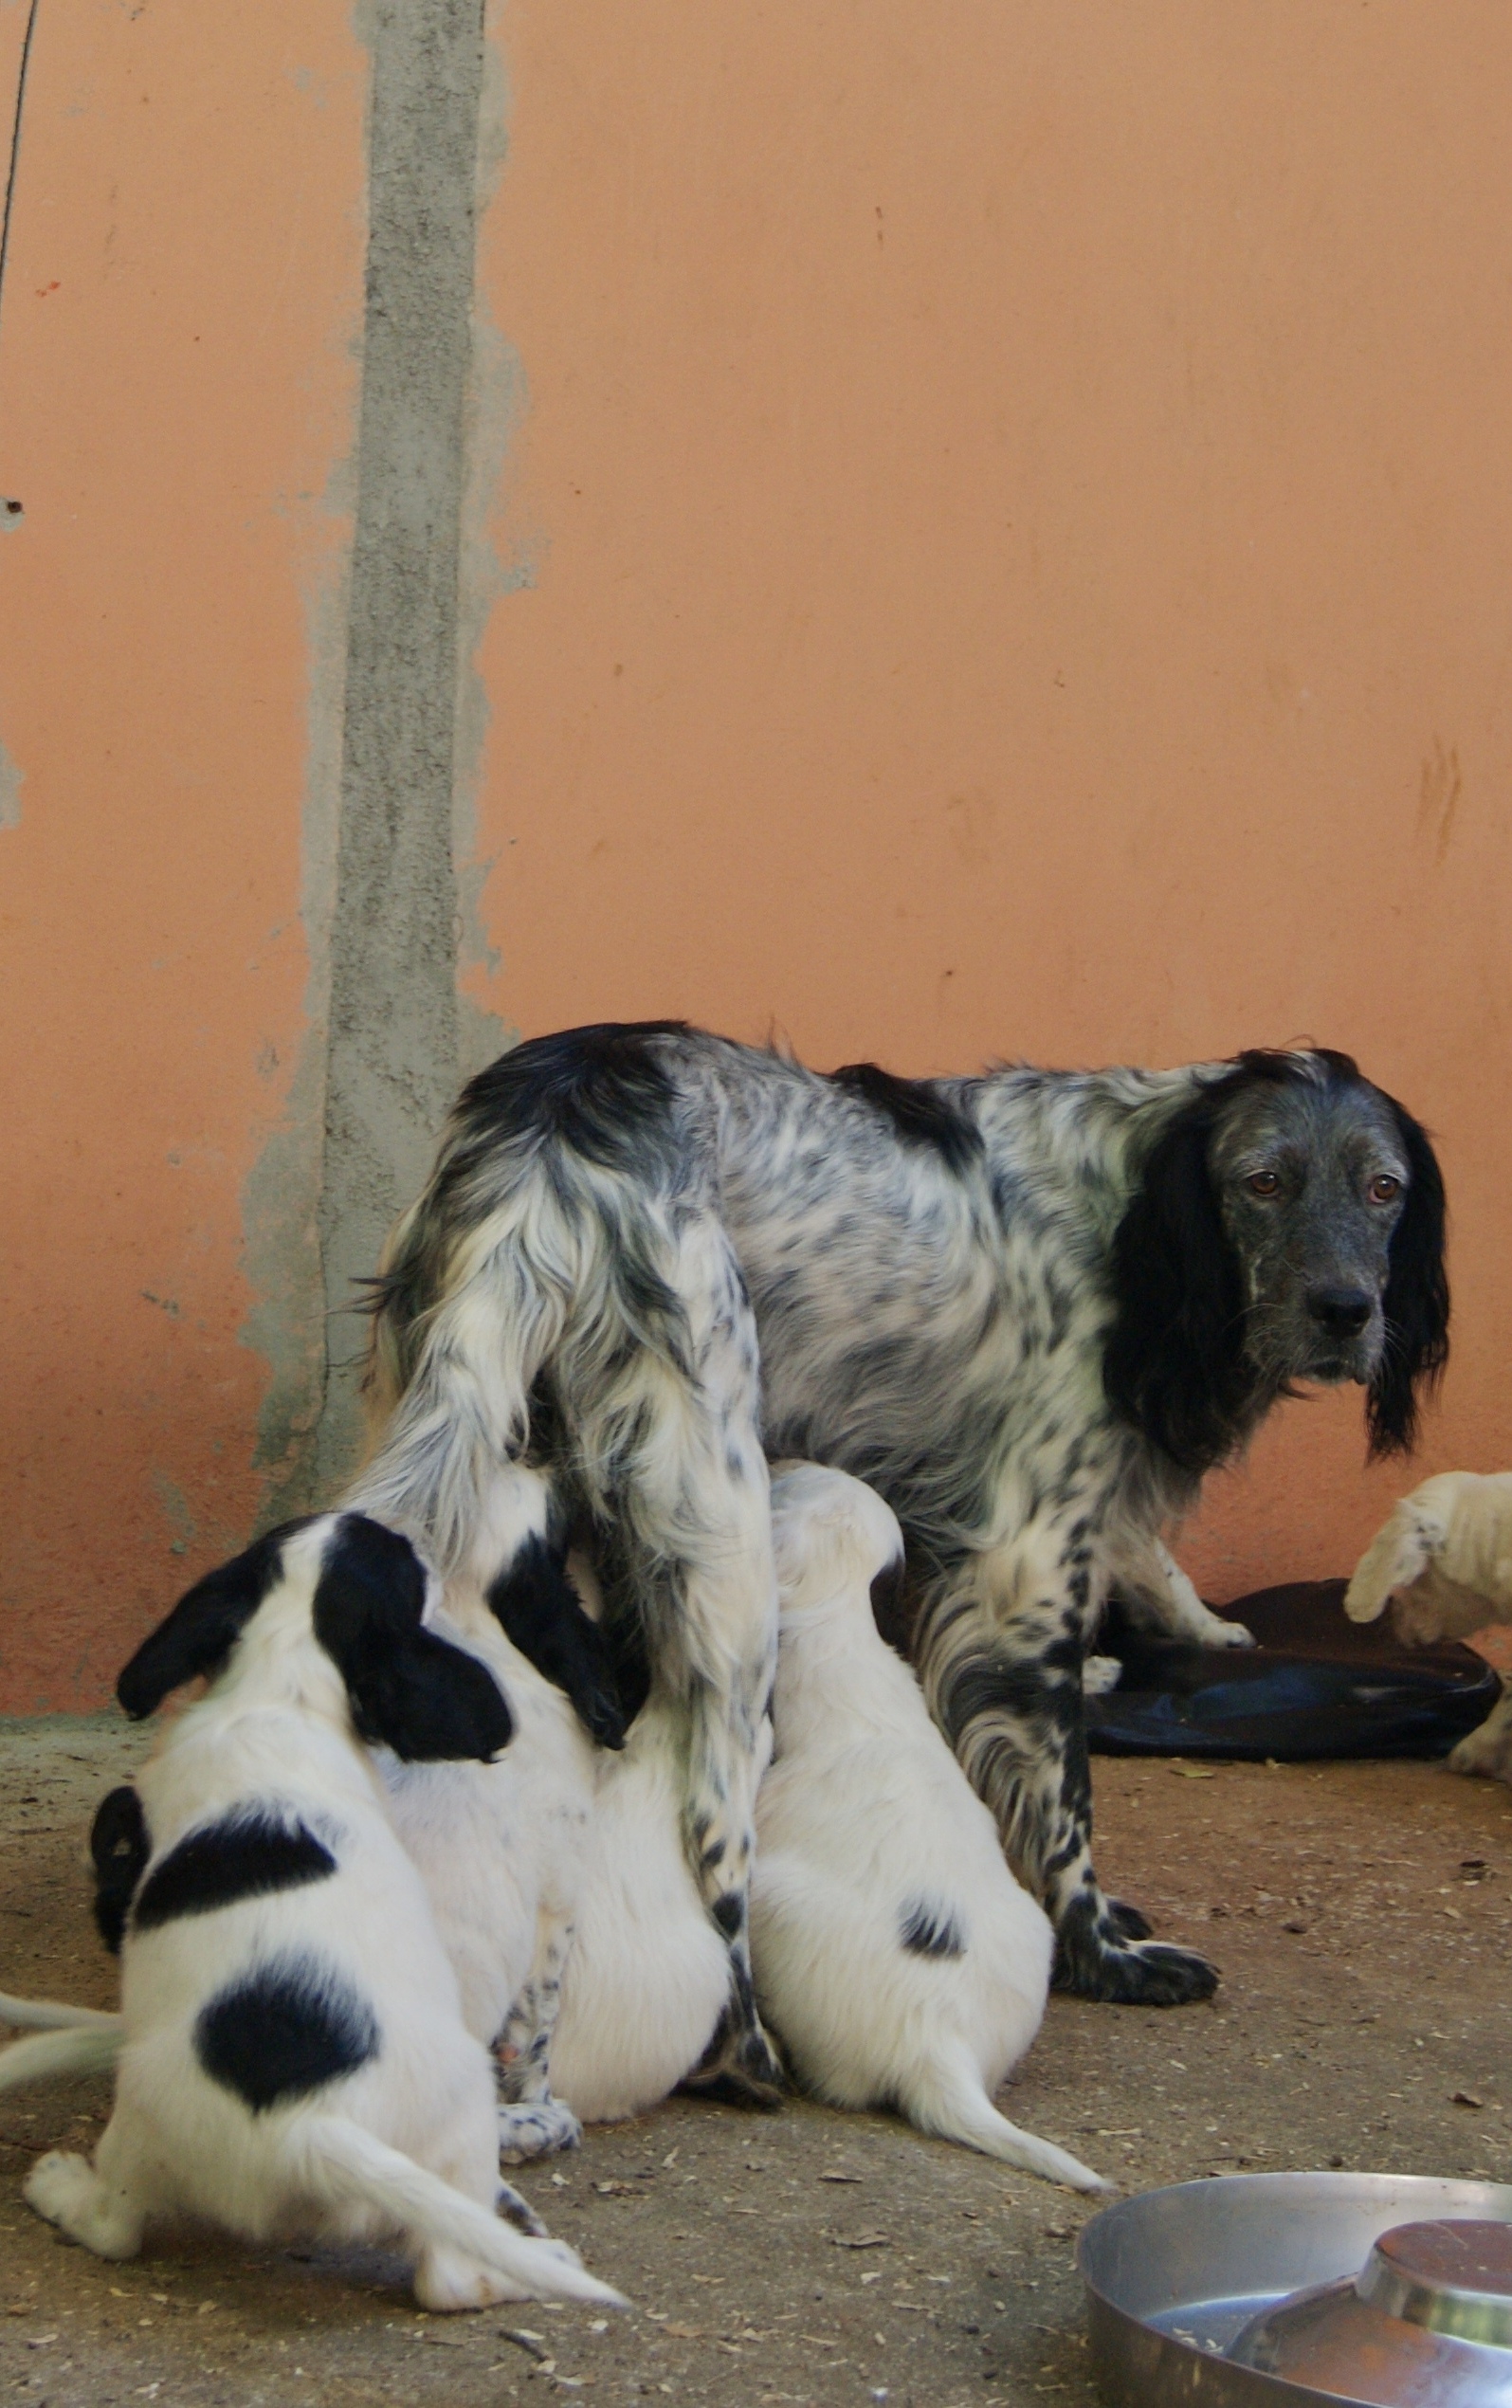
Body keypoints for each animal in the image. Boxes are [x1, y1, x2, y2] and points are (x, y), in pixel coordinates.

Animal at [349, 1015, 1444, 2071]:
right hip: (727, 1555)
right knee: (712, 1827)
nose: (1346, 1312)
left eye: (1381, 1188)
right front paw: (1104, 1953)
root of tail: (558, 1111)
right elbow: (1062, 1795)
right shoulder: (1026, 1563)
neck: (1135, 1215)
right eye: (1261, 1181)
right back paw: (744, 2048)